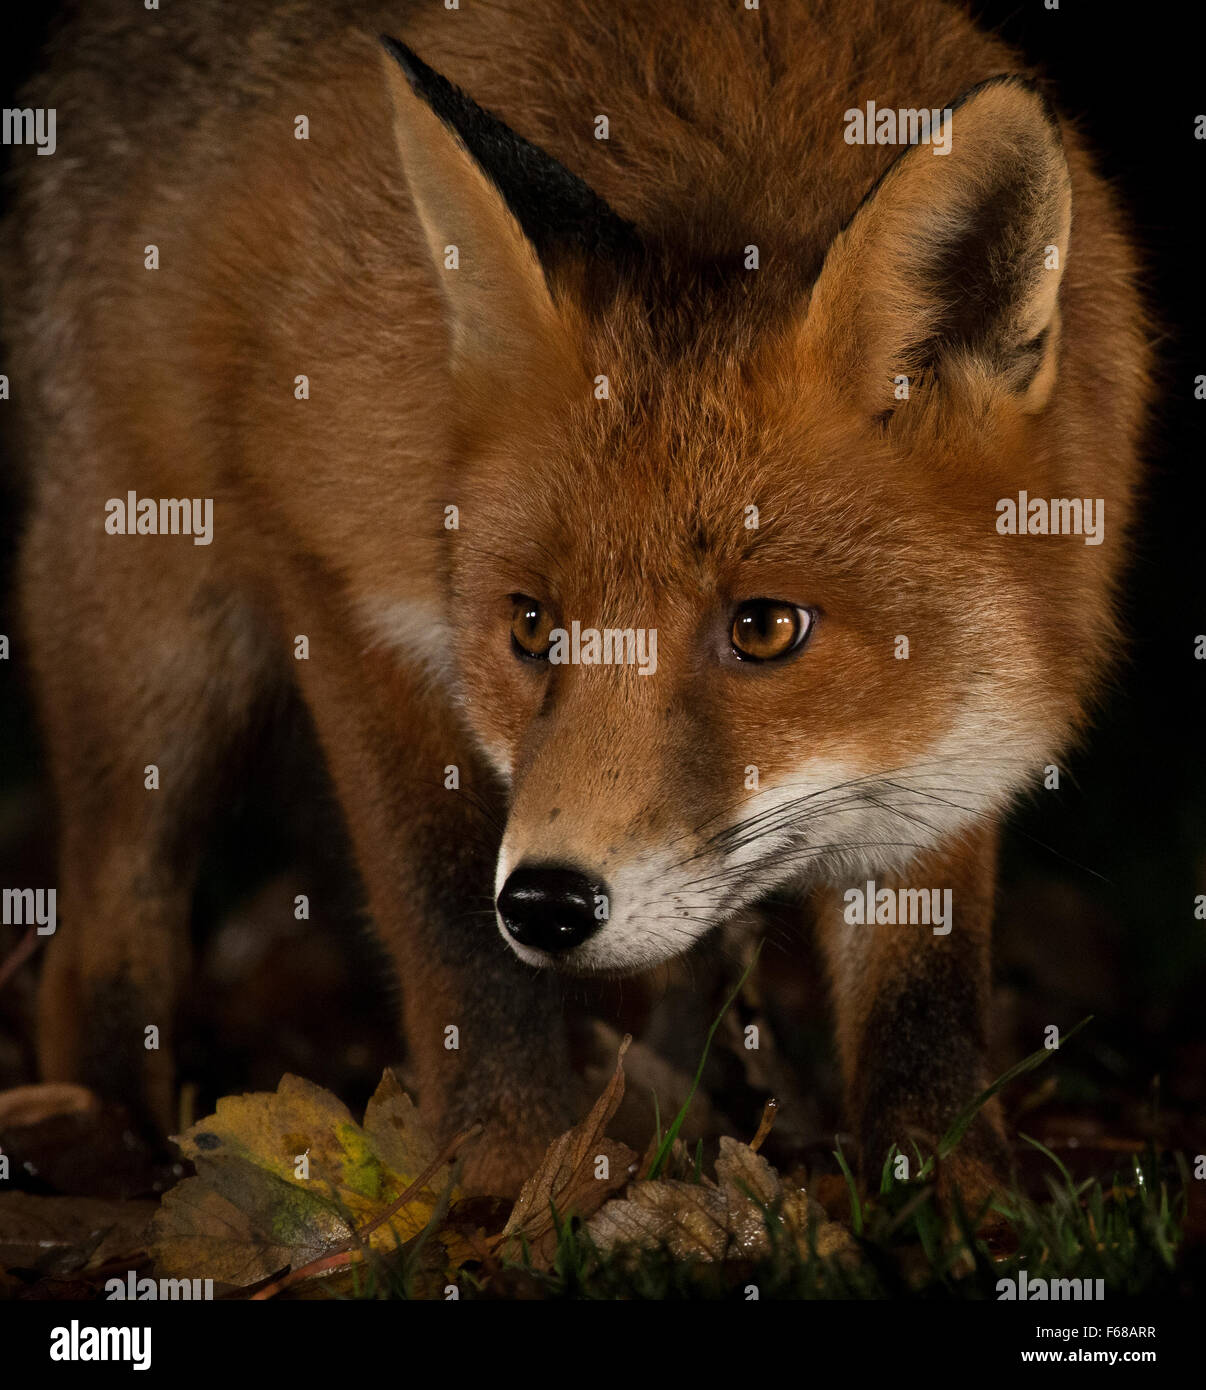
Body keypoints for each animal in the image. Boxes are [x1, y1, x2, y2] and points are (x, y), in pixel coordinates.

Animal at [2, 0, 1149, 1200]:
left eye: (765, 627)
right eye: (531, 625)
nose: (550, 904)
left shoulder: (954, 736)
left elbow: (926, 996)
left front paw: (952, 1195)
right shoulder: (344, 588)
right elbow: (454, 927)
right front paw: (508, 1176)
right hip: (151, 657)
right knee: (95, 945)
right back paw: (118, 1150)